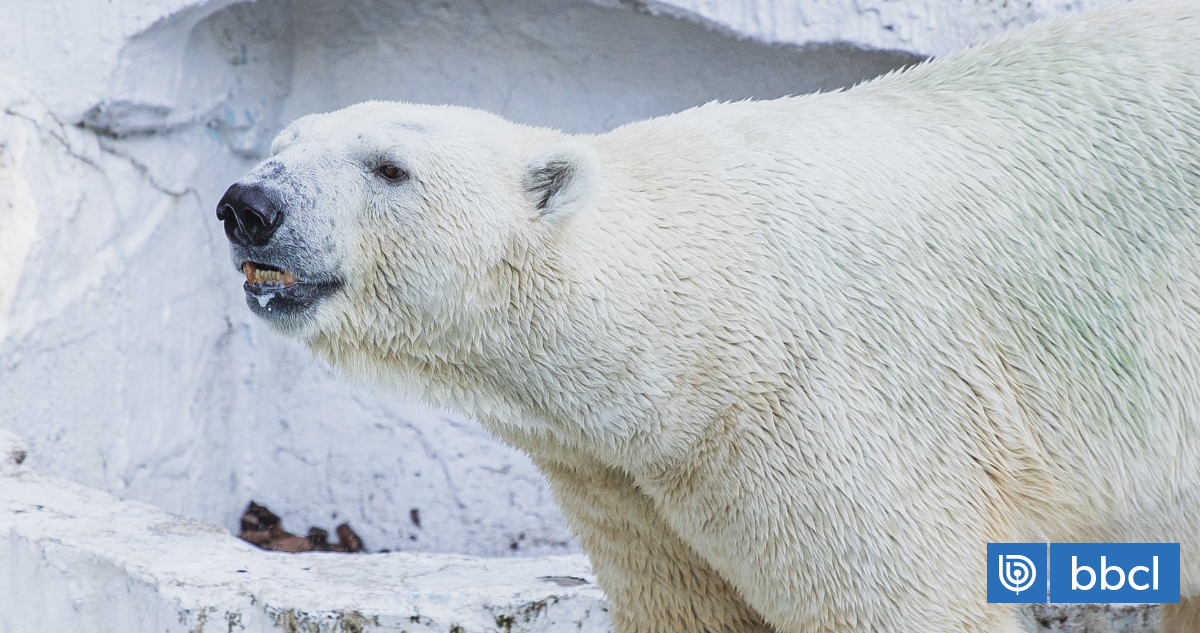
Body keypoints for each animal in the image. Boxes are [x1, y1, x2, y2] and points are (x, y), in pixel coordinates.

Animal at [216, 1, 1200, 631]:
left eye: (389, 168)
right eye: (282, 144)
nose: (247, 204)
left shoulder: (826, 415)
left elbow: (897, 600)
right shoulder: (626, 479)